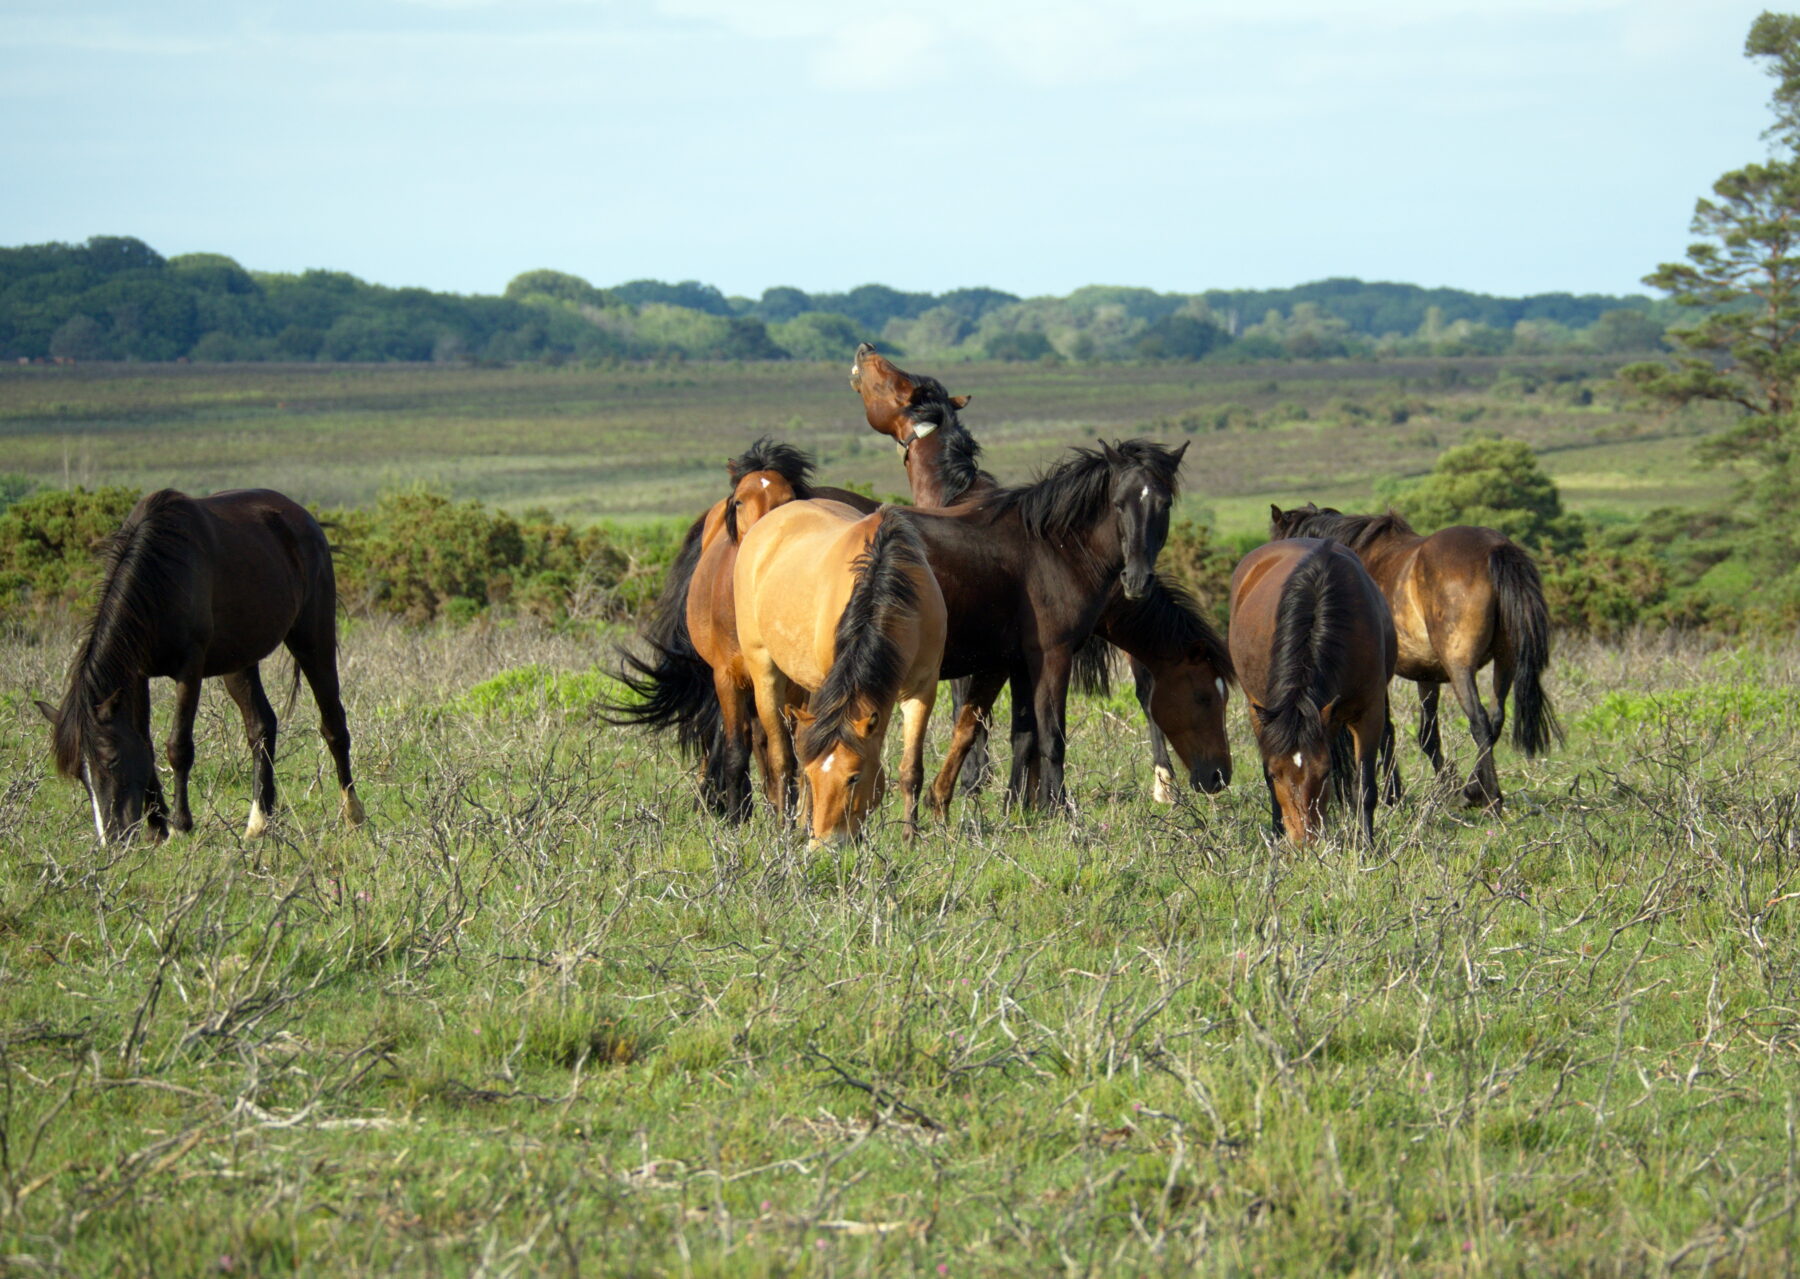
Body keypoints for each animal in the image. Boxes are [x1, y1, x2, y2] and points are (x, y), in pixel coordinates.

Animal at [36, 488, 363, 844]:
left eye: (112, 759)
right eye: (78, 773)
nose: (113, 838)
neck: (161, 574)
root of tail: (306, 520)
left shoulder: (189, 669)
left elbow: (178, 745)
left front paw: (180, 824)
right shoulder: (138, 675)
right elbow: (145, 743)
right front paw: (157, 827)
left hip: (312, 639)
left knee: (333, 725)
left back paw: (353, 815)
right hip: (239, 661)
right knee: (261, 726)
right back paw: (259, 821)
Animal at [734, 502, 946, 845]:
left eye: (854, 777)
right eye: (815, 775)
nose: (826, 845)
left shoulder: (922, 689)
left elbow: (911, 768)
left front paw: (910, 838)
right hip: (764, 669)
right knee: (781, 758)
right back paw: (784, 828)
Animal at [849, 342, 1231, 802]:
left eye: (895, 380)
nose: (866, 350)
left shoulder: (1022, 657)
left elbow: (1007, 728)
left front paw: (1007, 794)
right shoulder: (1018, 658)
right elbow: (1020, 732)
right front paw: (1020, 799)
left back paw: (1163, 785)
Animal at [1228, 539, 1395, 845]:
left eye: (1325, 771)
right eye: (1276, 773)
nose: (1304, 841)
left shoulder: (1370, 711)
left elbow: (1365, 786)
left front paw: (1367, 845)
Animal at [1269, 503, 1560, 807]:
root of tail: (1495, 549)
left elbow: (1385, 732)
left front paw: (1392, 793)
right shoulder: (1427, 674)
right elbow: (1428, 735)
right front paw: (1447, 787)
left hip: (1461, 668)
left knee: (1479, 721)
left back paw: (1490, 797)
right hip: (1506, 661)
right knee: (1495, 718)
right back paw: (1472, 789)